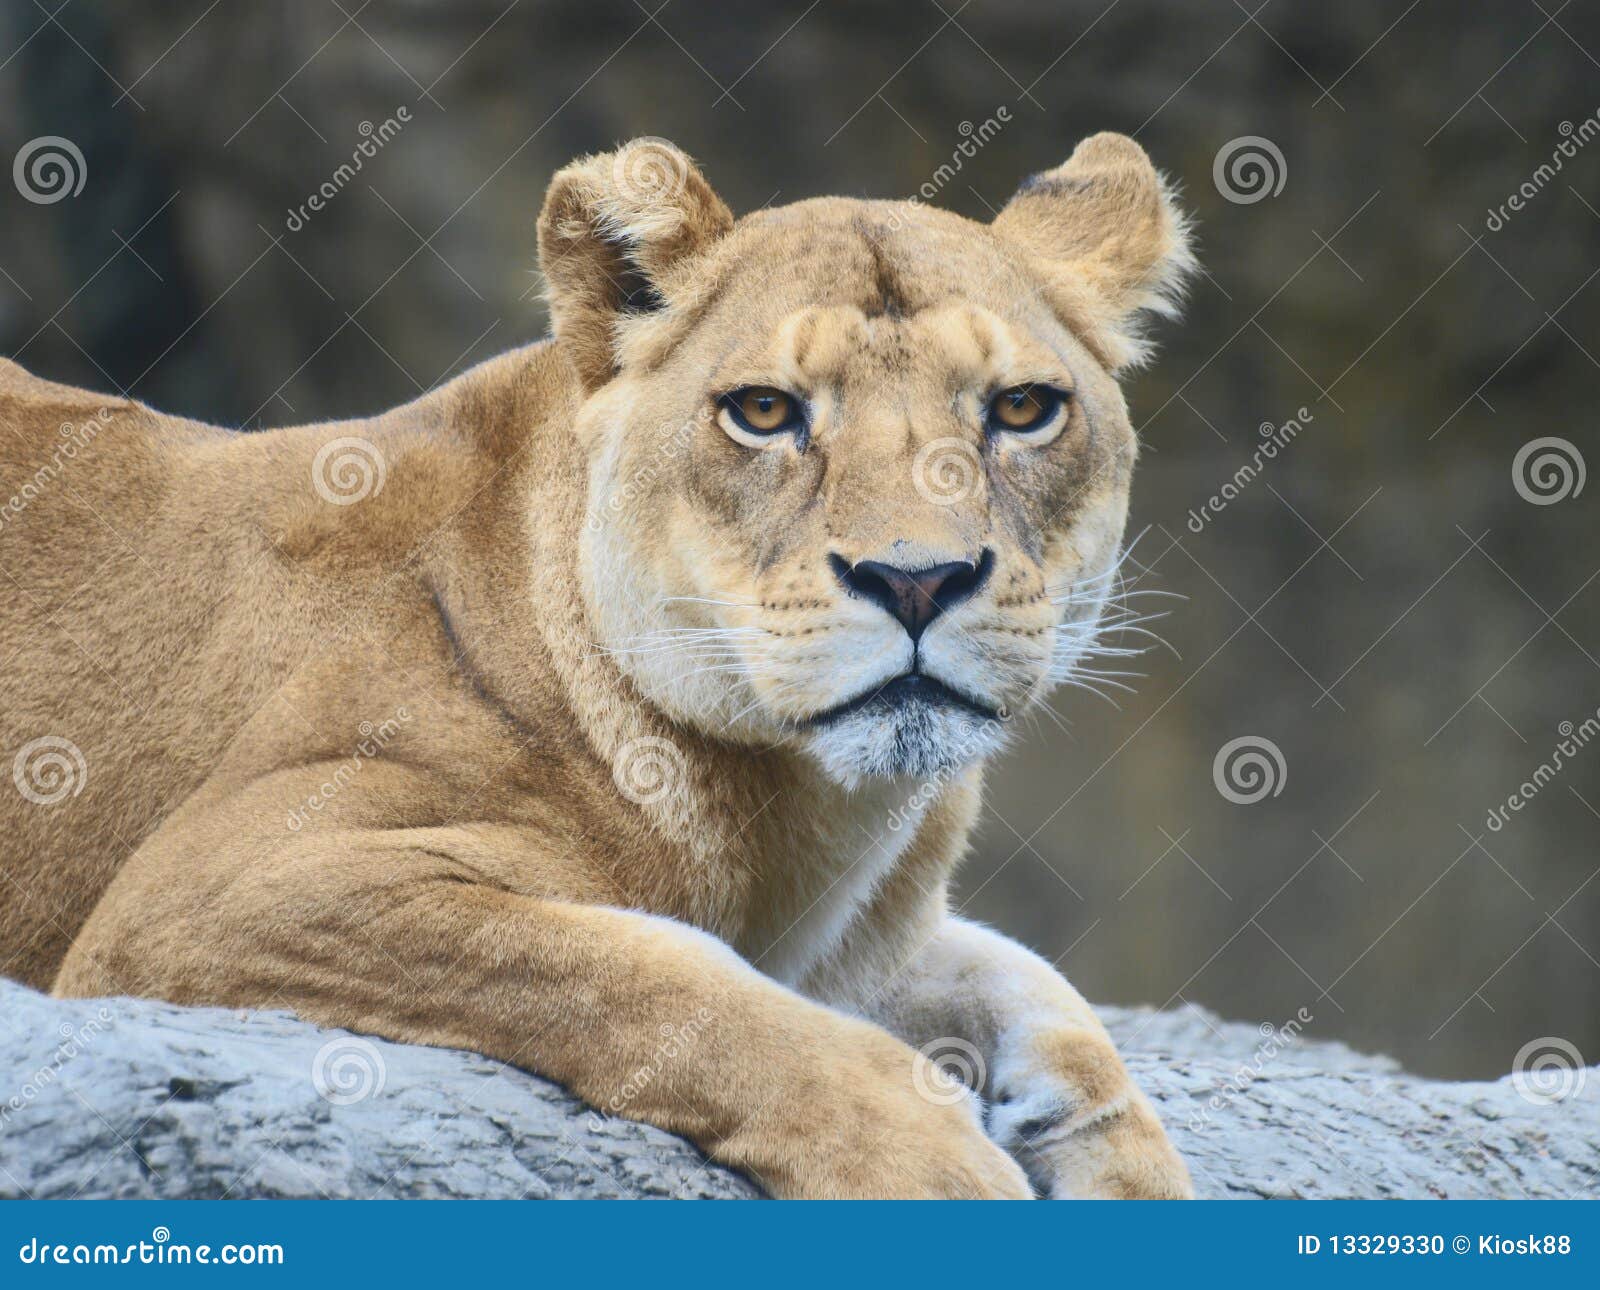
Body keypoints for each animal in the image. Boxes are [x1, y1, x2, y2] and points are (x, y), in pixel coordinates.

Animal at [0, 133, 1196, 1199]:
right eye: (765, 411)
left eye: (1022, 409)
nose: (915, 580)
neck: (809, 814)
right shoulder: (204, 893)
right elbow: (648, 975)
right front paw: (928, 1161)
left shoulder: (866, 946)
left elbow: (1042, 992)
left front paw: (1125, 1168)